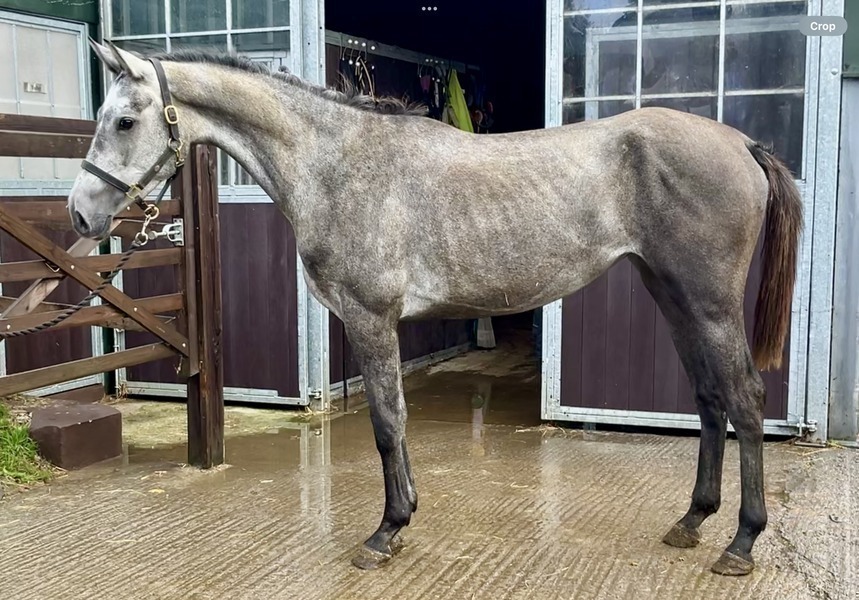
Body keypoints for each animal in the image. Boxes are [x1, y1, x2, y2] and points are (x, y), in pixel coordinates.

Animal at [69, 40, 802, 577]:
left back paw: (741, 544)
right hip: (671, 297)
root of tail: (740, 144)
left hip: (708, 303)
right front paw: (399, 521)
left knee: (743, 397)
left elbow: (387, 423)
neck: (337, 164)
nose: (78, 214)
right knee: (708, 399)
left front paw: (385, 532)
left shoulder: (370, 317)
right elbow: (391, 422)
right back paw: (692, 522)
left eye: (125, 120)